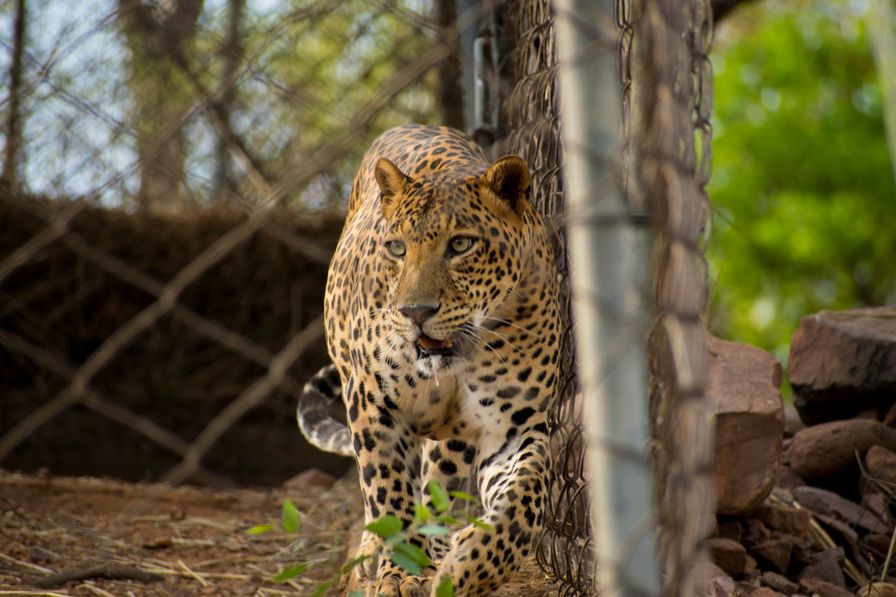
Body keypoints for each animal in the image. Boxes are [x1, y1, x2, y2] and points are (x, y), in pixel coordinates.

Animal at [297, 124, 561, 597]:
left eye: (461, 245)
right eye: (396, 248)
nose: (415, 312)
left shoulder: (513, 426)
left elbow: (524, 500)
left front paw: (470, 564)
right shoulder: (372, 404)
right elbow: (389, 493)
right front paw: (400, 573)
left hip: (452, 442)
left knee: (437, 485)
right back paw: (371, 555)